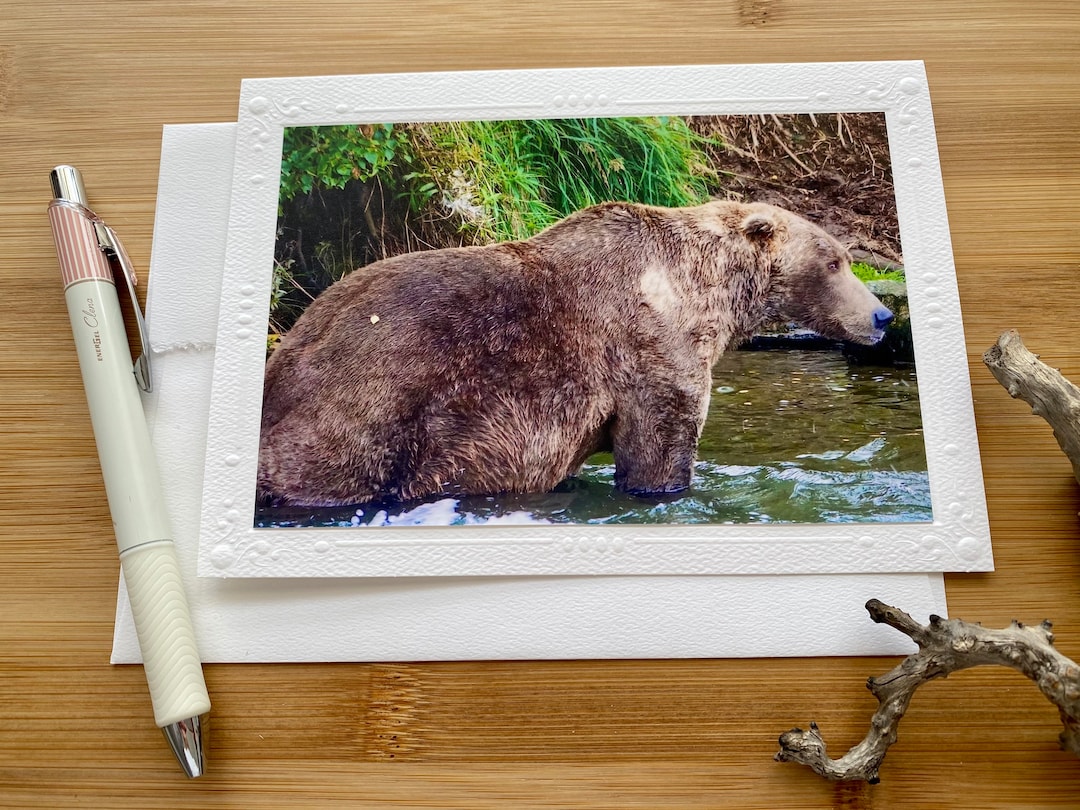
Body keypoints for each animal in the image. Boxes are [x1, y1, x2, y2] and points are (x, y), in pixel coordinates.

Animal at [257, 200, 893, 508]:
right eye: (835, 261)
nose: (883, 316)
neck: (704, 290)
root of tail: (290, 343)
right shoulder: (653, 353)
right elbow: (659, 452)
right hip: (364, 409)